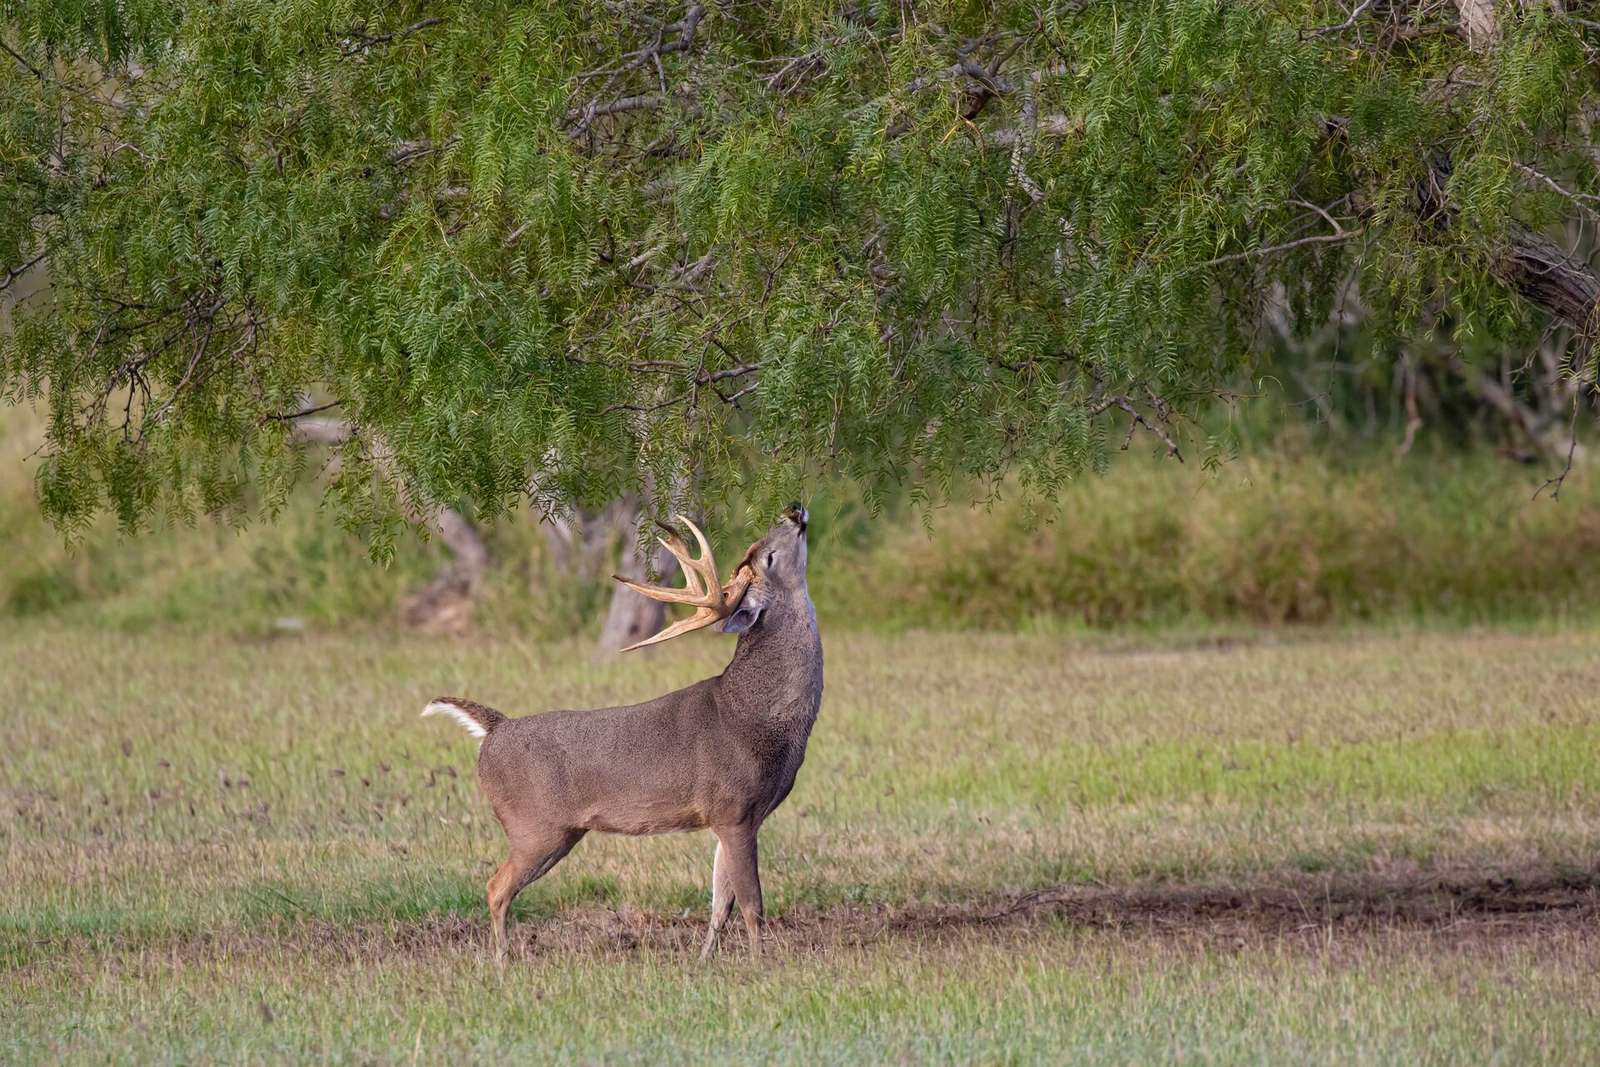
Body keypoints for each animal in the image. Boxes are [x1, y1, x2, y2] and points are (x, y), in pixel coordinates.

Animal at [422, 504, 822, 960]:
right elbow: (753, 904)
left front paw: (705, 960)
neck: (759, 715)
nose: (794, 510)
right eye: (767, 557)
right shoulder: (734, 808)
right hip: (534, 826)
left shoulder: (735, 818)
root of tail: (495, 729)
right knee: (496, 887)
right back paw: (504, 960)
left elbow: (721, 902)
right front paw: (759, 964)